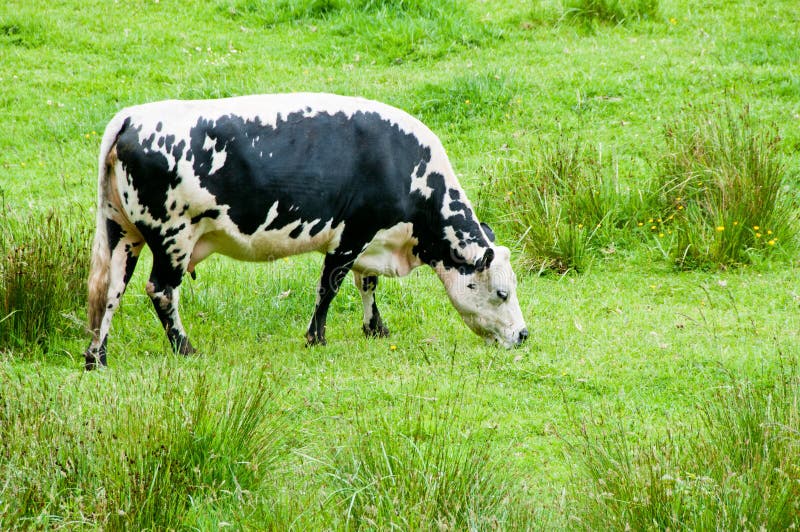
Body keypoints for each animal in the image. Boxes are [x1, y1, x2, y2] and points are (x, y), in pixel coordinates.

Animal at [84, 93, 528, 369]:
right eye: (501, 293)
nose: (523, 335)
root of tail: (131, 118)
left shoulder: (370, 241)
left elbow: (367, 283)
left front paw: (375, 328)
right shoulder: (352, 234)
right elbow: (330, 285)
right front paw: (316, 338)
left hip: (123, 233)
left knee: (111, 291)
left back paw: (97, 357)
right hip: (173, 237)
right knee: (160, 290)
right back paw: (185, 348)